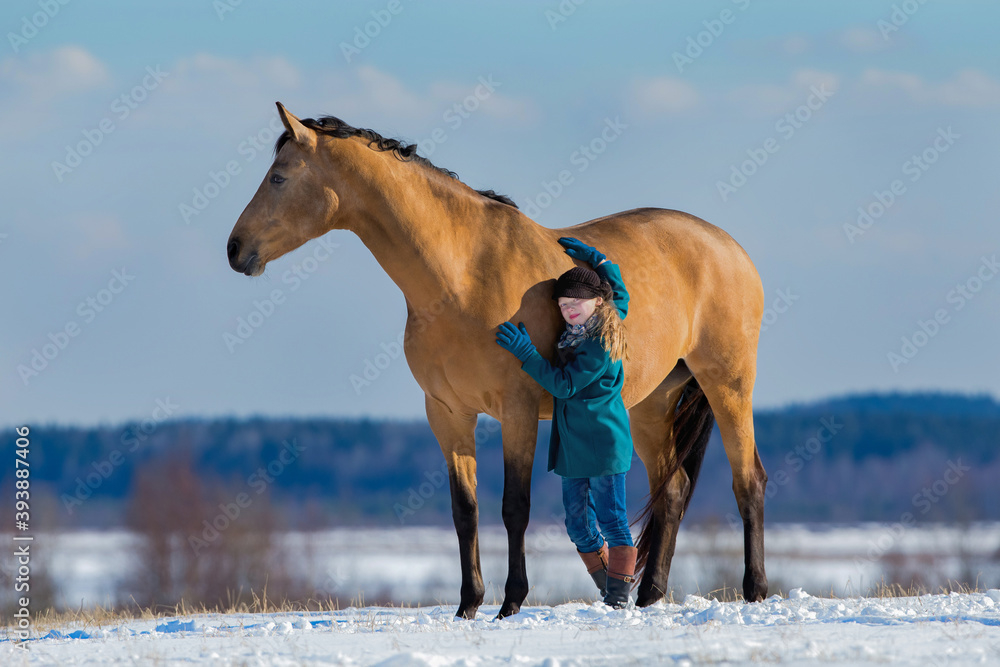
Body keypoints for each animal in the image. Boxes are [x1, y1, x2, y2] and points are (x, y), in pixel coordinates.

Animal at [227, 102, 768, 620]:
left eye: (278, 177)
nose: (235, 250)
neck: (461, 275)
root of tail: (730, 248)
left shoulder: (518, 410)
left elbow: (515, 507)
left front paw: (511, 603)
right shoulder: (447, 413)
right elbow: (464, 511)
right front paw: (468, 603)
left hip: (728, 385)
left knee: (748, 482)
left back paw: (756, 590)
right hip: (651, 404)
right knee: (672, 489)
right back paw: (649, 596)